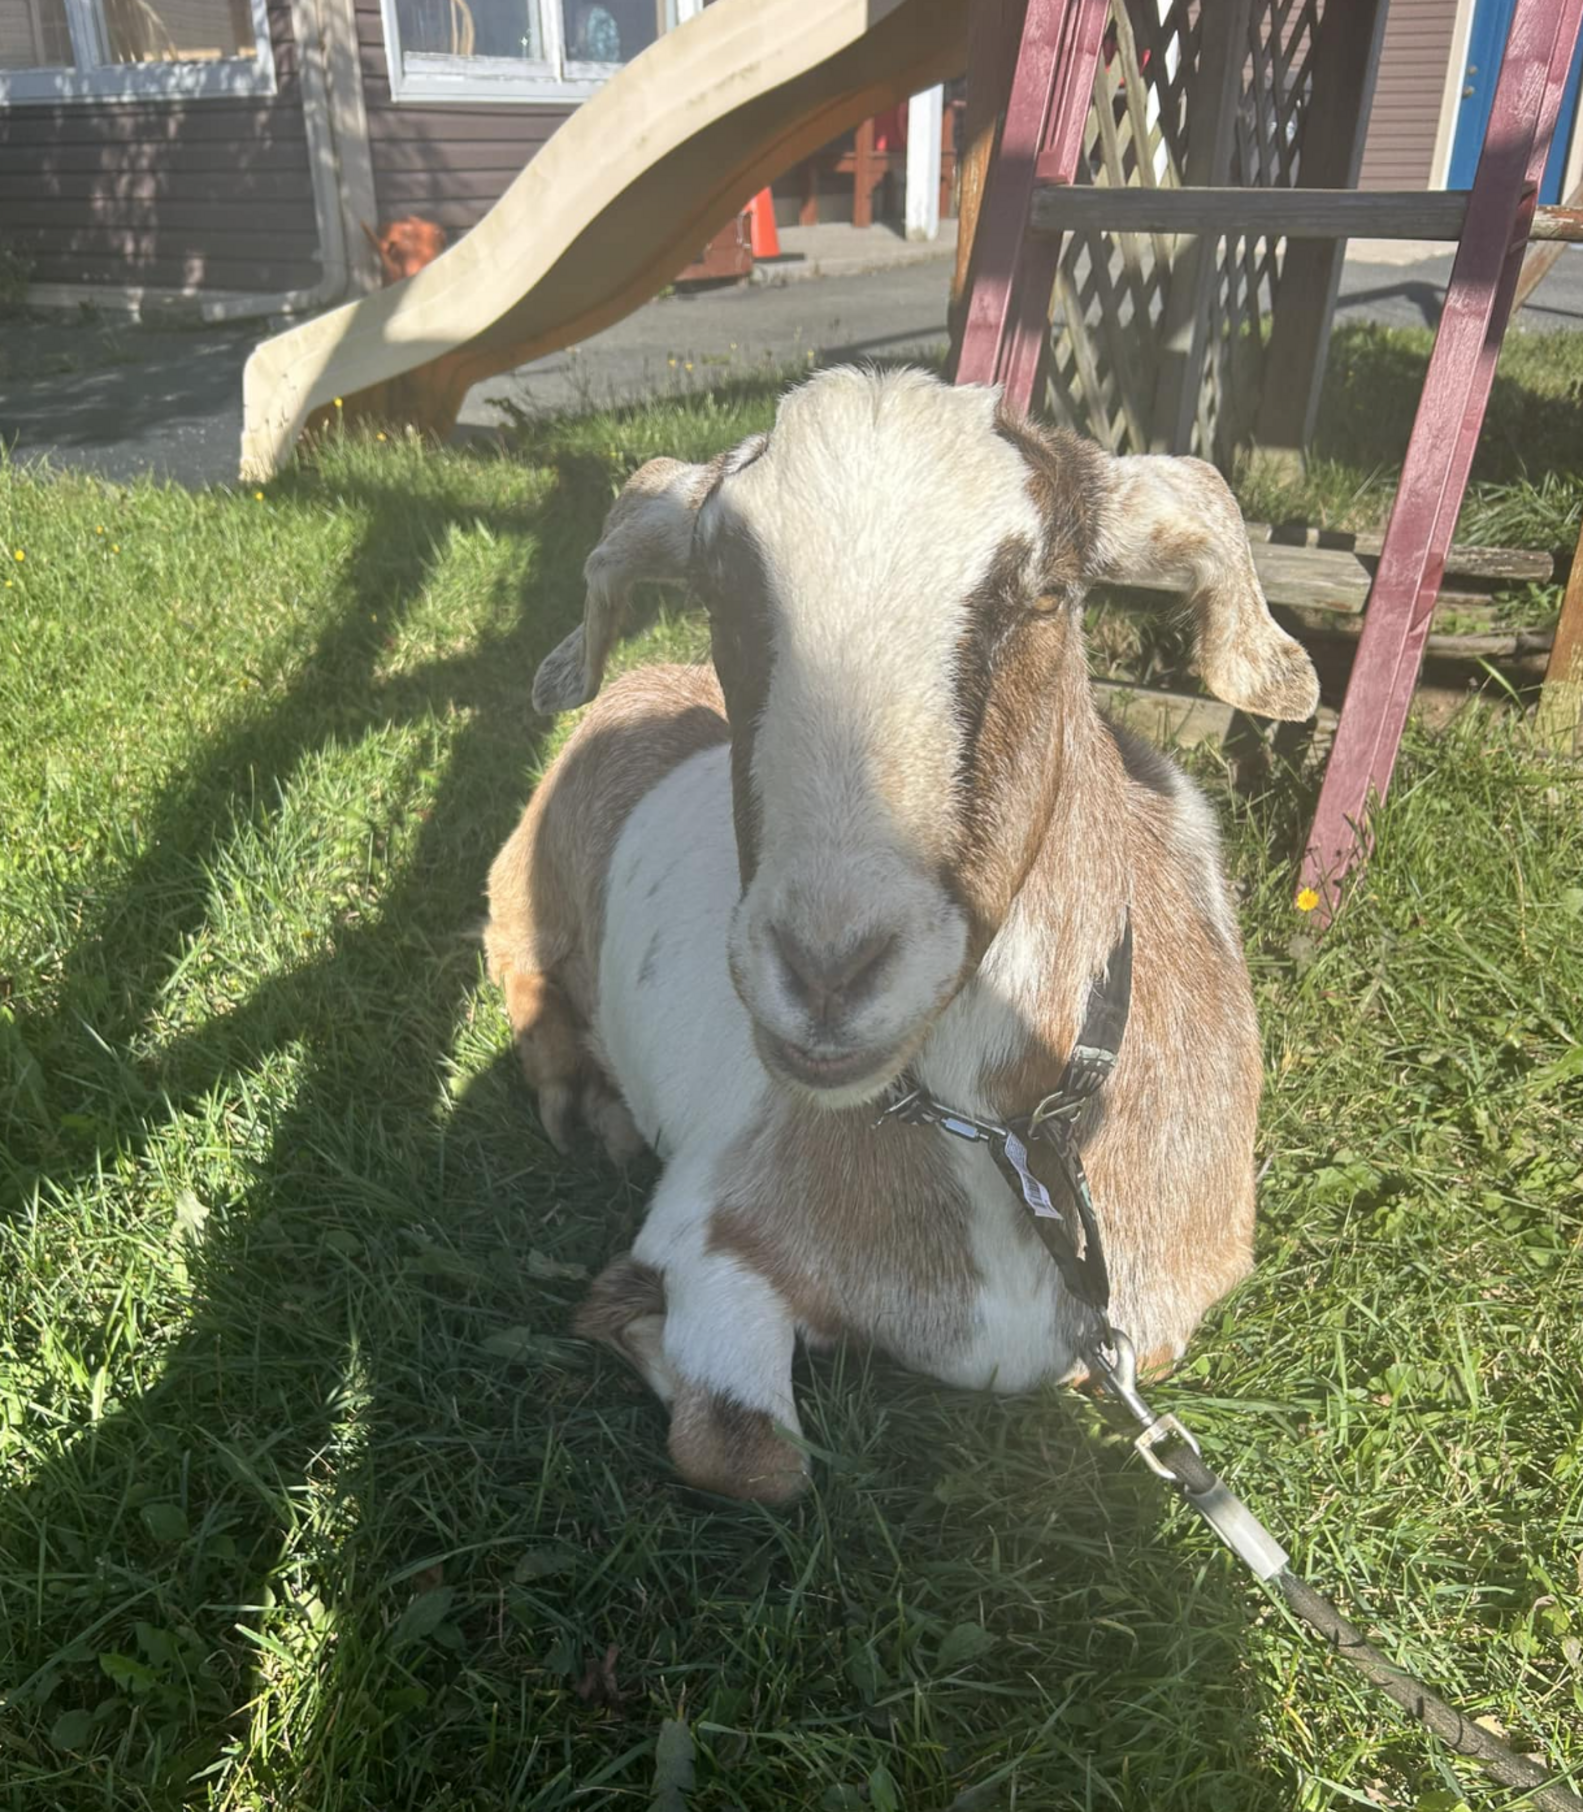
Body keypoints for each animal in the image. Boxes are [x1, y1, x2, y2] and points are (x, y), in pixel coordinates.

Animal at [485, 366, 1318, 1504]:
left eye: (1047, 592)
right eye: (719, 592)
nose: (826, 972)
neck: (1005, 1141)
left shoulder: (1148, 1322)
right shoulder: (710, 1229)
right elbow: (753, 1457)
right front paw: (630, 1312)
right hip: (523, 882)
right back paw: (587, 1105)